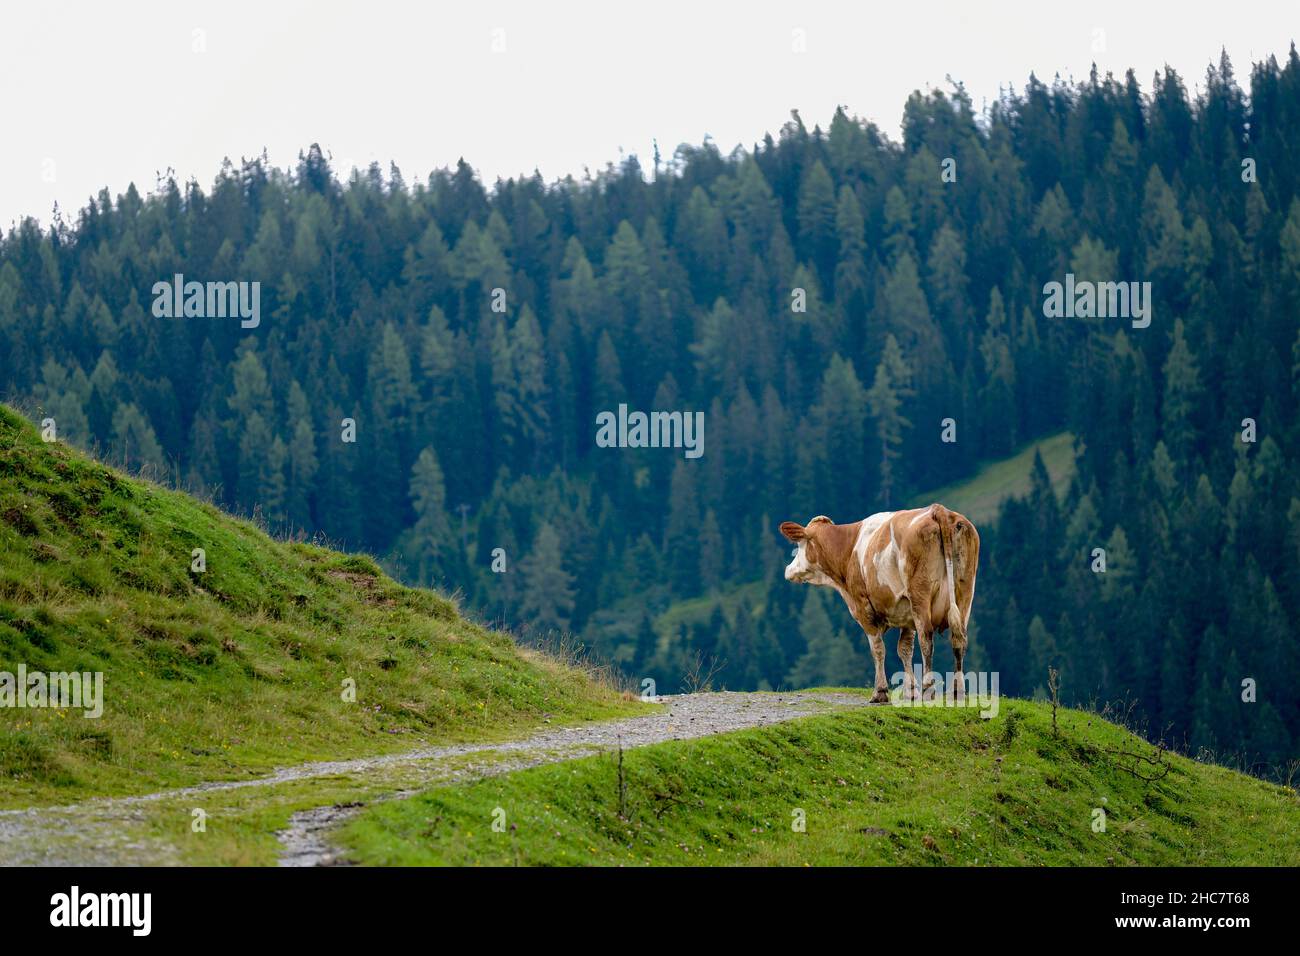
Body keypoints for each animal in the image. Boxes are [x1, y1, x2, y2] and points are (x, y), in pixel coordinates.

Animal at [779, 504, 979, 704]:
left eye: (799, 545)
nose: (788, 569)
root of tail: (938, 510)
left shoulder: (862, 606)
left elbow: (877, 648)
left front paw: (880, 692)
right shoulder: (906, 613)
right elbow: (904, 649)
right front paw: (910, 691)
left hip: (920, 594)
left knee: (926, 639)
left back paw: (928, 690)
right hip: (965, 593)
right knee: (959, 639)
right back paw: (958, 691)